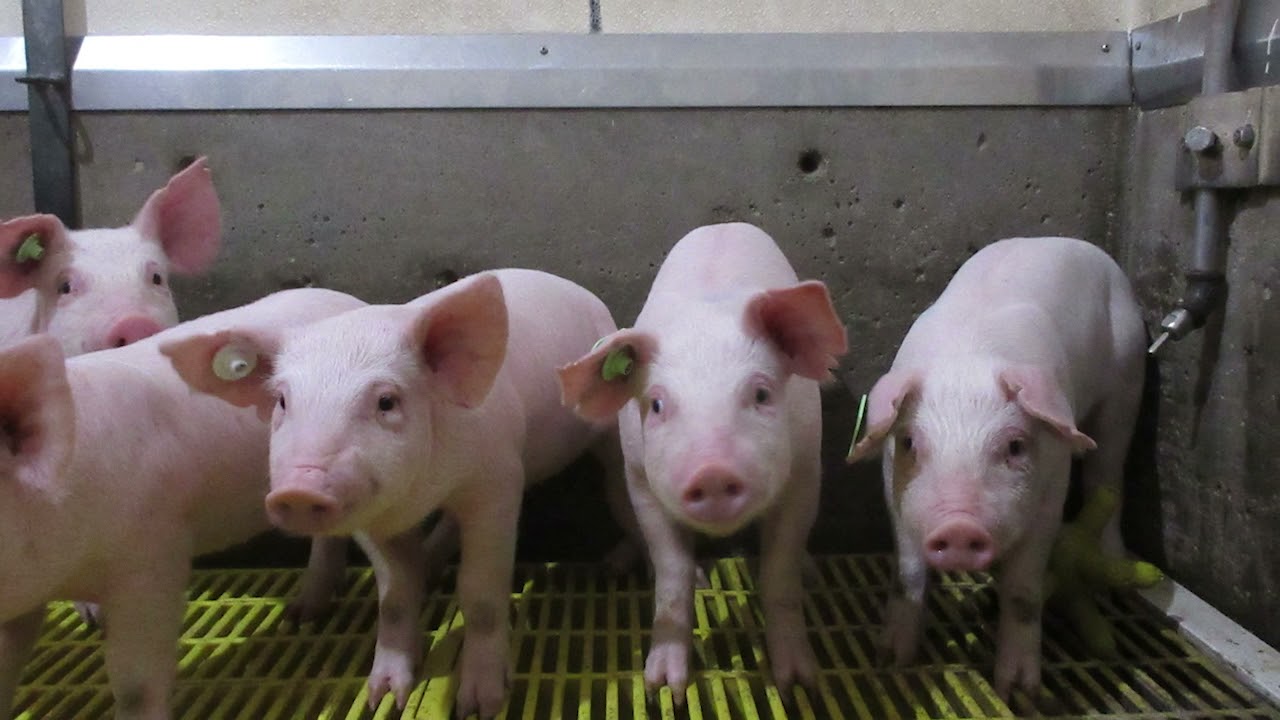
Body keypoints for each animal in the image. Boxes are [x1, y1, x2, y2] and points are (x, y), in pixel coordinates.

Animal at [161, 269, 622, 718]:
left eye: (386, 401)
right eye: (282, 402)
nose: (298, 489)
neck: (422, 492)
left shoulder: (497, 484)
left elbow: (480, 593)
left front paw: (480, 705)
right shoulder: (371, 517)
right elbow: (395, 595)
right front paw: (382, 697)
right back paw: (303, 614)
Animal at [558, 222, 848, 701]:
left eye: (762, 394)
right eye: (657, 404)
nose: (712, 471)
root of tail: (723, 225)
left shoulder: (806, 472)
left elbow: (779, 574)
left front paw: (797, 683)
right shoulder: (641, 481)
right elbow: (671, 577)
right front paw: (663, 689)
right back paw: (620, 567)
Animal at [846, 236, 1146, 698]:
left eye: (1015, 446)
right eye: (910, 442)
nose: (958, 527)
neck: (966, 363)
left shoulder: (1052, 485)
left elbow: (1023, 592)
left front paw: (1018, 693)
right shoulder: (895, 489)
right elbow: (908, 573)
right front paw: (891, 661)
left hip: (1127, 385)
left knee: (1108, 476)